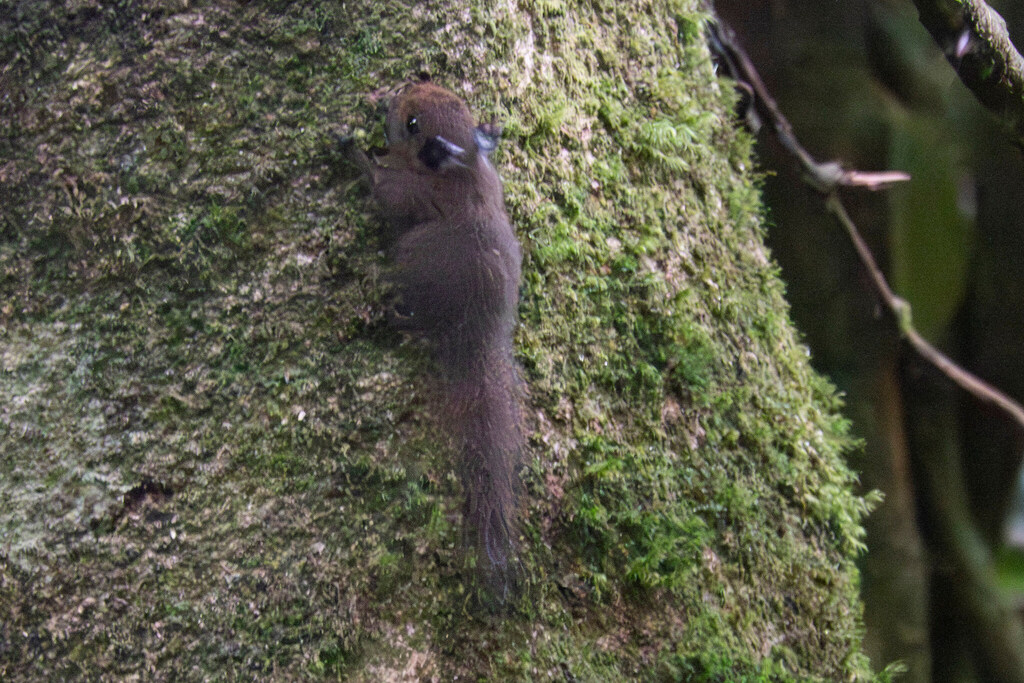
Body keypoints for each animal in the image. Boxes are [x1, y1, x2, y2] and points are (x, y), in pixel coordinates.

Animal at [343, 80, 524, 598]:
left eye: (412, 124)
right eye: (436, 92)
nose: (400, 90)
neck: (461, 166)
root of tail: (482, 330)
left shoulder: (409, 194)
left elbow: (381, 190)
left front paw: (355, 153)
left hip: (415, 269)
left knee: (419, 324)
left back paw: (388, 317)